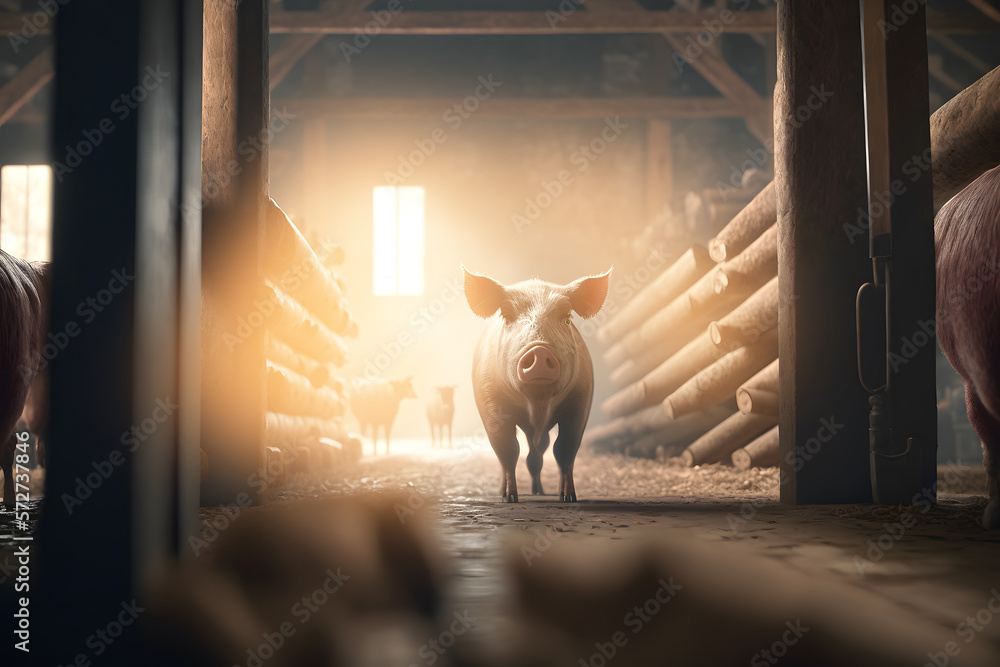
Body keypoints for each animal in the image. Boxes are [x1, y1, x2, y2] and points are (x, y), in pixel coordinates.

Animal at [463, 267, 611, 502]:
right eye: (506, 315)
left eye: (567, 317)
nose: (539, 351)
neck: (537, 404)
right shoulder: (491, 403)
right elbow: (507, 449)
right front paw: (509, 498)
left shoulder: (581, 402)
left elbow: (564, 450)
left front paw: (568, 498)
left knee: (538, 452)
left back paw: (540, 492)